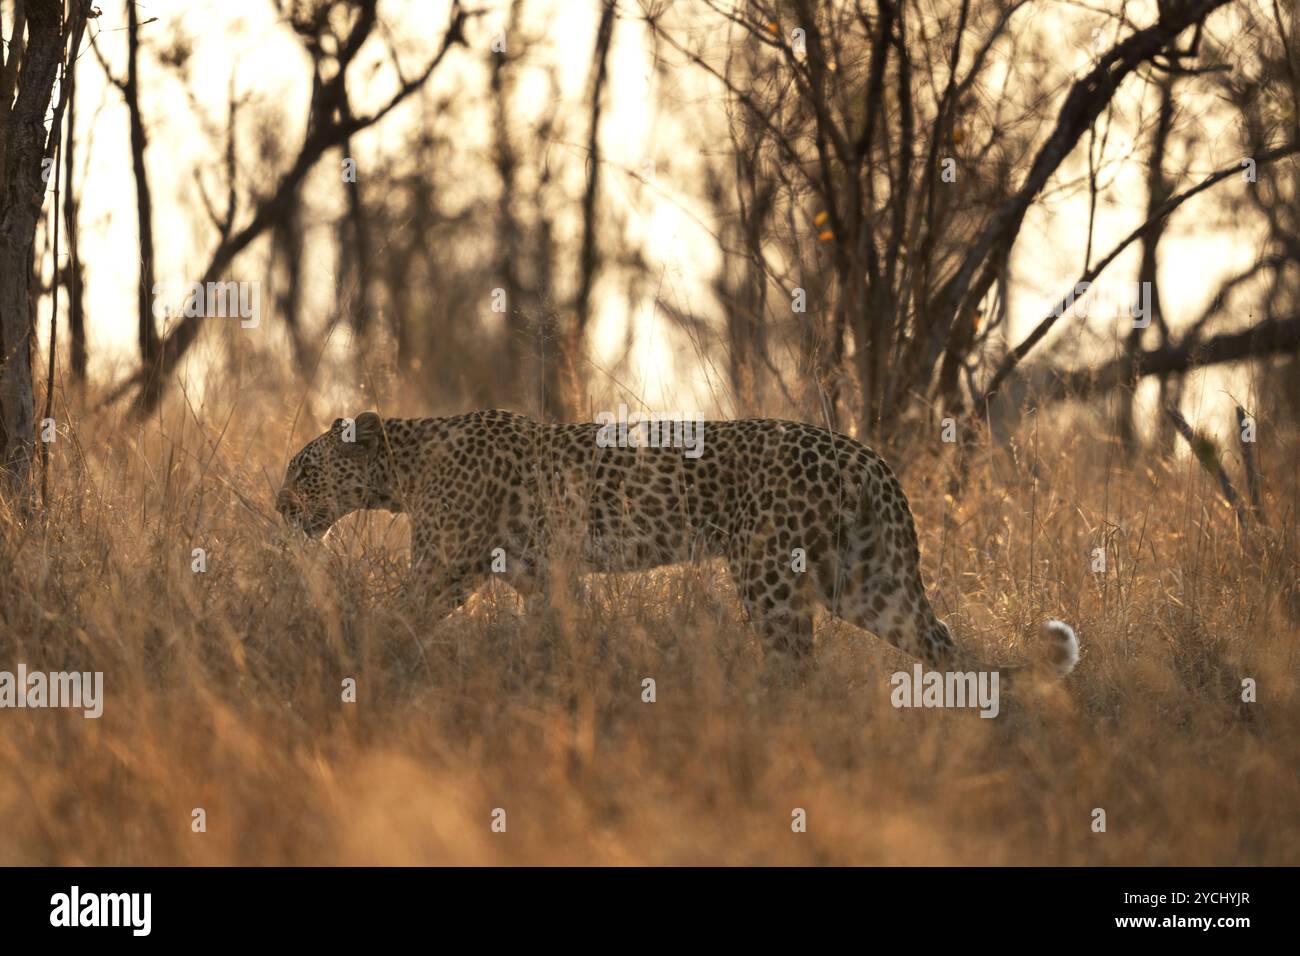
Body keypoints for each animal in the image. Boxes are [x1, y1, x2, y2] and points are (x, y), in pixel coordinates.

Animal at [275, 408, 1079, 677]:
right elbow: (554, 634)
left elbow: (396, 615)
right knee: (938, 641)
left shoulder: (444, 566)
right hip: (865, 581)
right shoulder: (544, 577)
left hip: (772, 576)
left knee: (798, 666)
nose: (280, 507)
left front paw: (351, 660)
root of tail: (867, 456)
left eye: (304, 470)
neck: (405, 464)